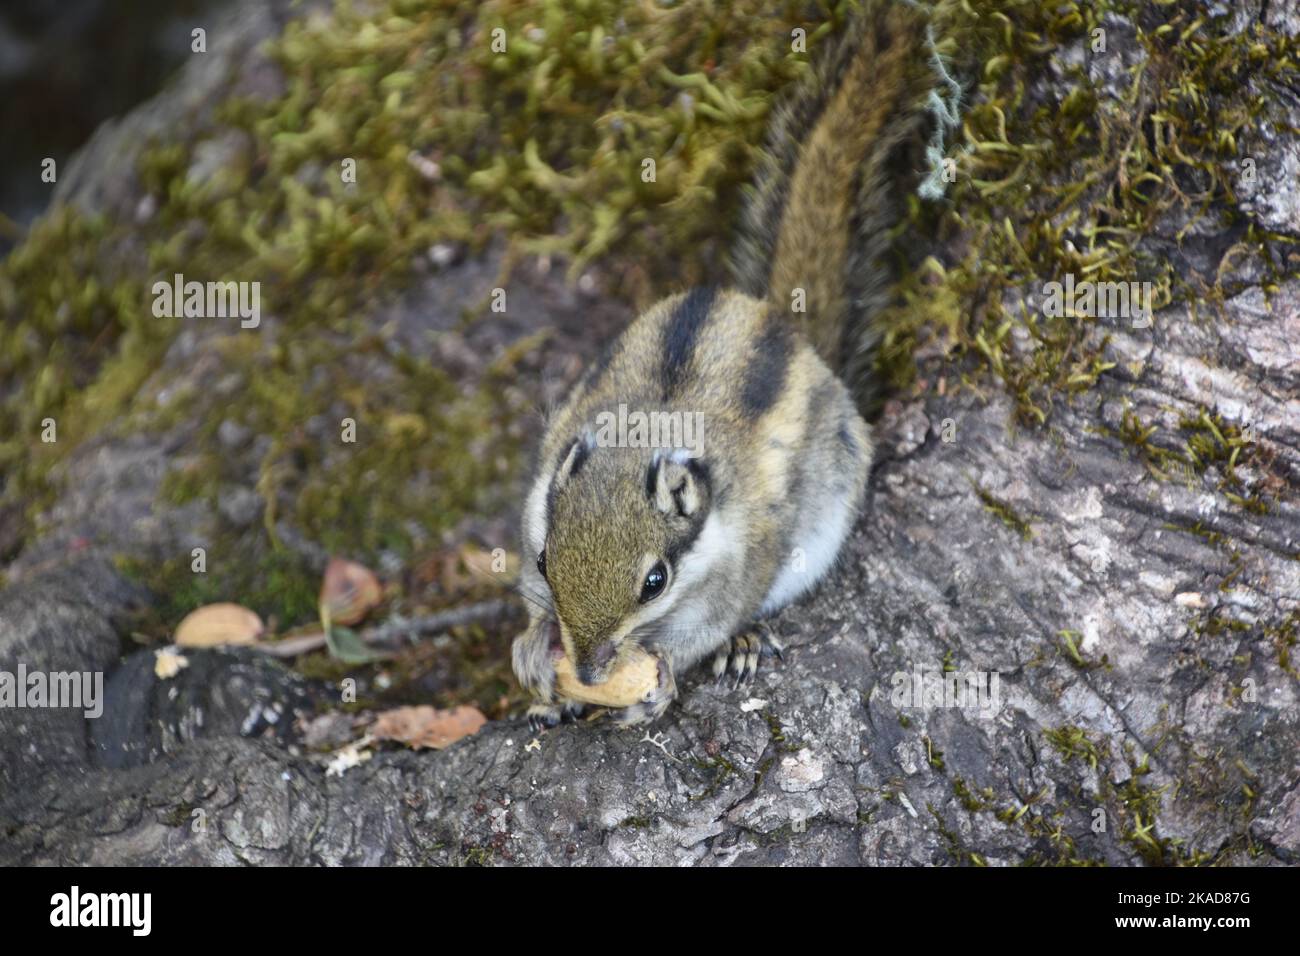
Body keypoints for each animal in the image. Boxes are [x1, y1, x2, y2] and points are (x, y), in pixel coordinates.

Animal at [512, 0, 948, 727]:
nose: (591, 668)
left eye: (654, 581)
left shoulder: (745, 560)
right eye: (544, 562)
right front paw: (534, 645)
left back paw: (742, 643)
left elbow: (710, 623)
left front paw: (663, 678)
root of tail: (780, 318)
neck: (648, 432)